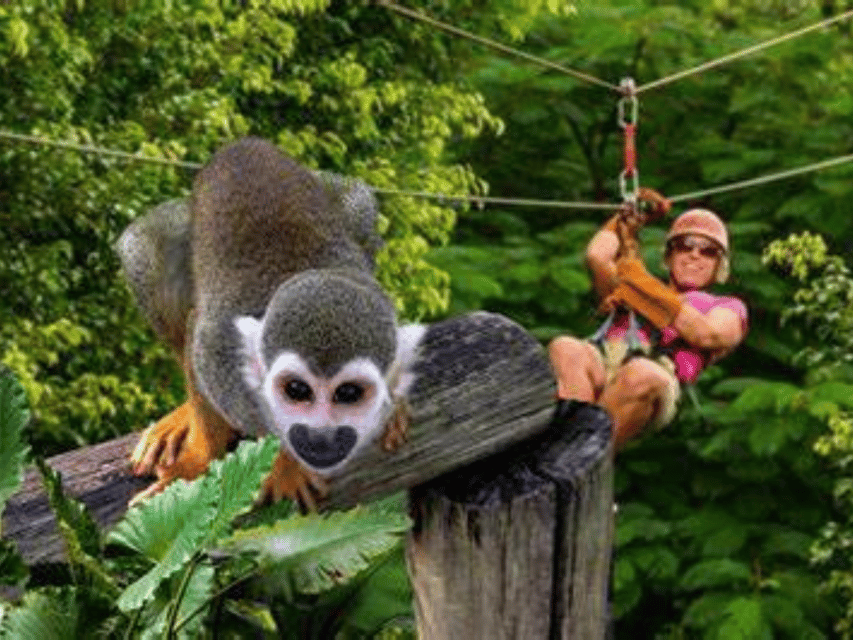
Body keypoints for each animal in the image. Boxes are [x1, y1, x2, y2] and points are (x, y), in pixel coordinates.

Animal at [117, 137, 425, 508]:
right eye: (299, 392)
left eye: (349, 394)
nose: (324, 434)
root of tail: (244, 144)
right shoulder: (220, 346)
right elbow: (200, 351)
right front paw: (271, 460)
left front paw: (392, 407)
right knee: (144, 249)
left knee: (359, 204)